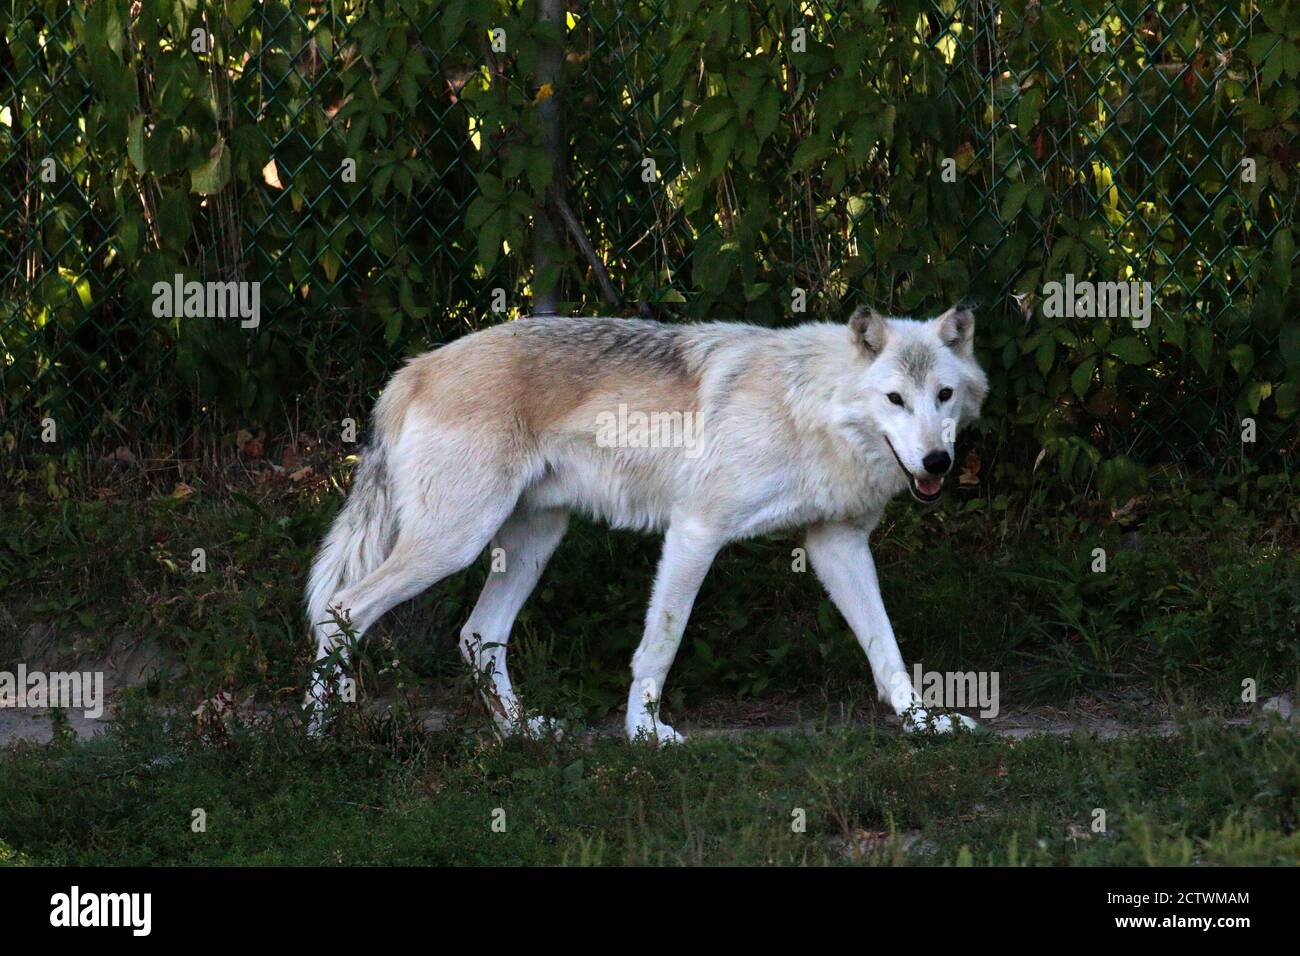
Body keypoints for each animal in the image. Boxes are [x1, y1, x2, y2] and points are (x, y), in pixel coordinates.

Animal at [305, 305, 989, 742]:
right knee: (341, 610)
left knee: (478, 635)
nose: (936, 462)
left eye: (944, 396)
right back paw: (320, 736)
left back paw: (521, 732)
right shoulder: (695, 531)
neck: (808, 408)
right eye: (895, 399)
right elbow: (660, 643)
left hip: (532, 544)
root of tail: (410, 371)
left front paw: (924, 722)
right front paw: (644, 734)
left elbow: (886, 647)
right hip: (454, 543)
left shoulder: (836, 544)